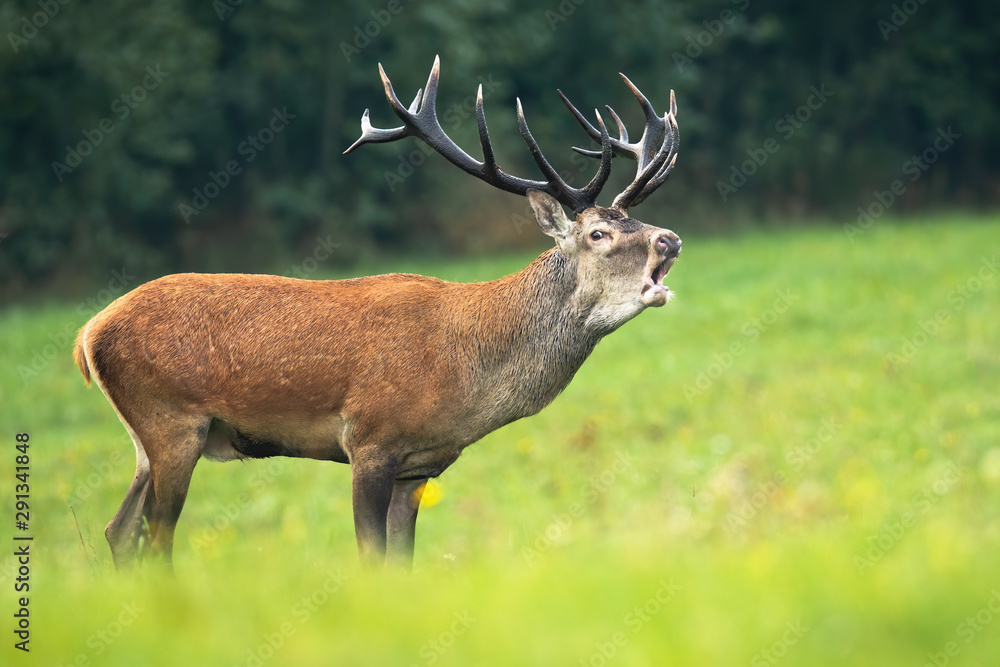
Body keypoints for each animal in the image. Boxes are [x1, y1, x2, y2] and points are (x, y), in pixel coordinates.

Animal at [73, 55, 682, 570]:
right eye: (598, 233)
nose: (670, 239)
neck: (466, 373)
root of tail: (88, 333)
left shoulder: (419, 467)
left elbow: (401, 564)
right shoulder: (368, 439)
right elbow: (370, 558)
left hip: (149, 439)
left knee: (119, 529)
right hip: (171, 420)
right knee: (155, 537)